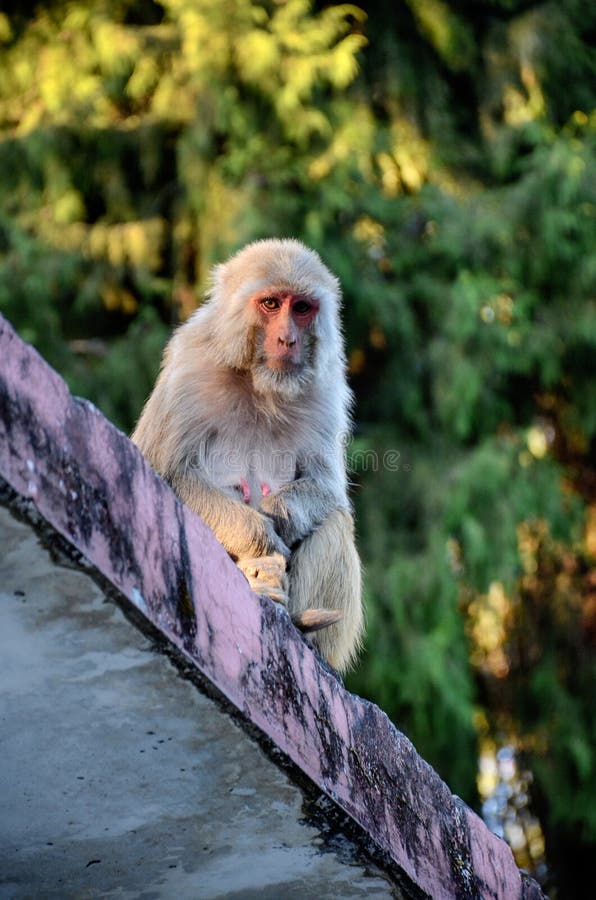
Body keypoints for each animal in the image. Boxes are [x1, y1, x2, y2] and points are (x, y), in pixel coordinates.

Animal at [132, 238, 363, 673]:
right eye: (271, 304)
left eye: (301, 308)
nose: (288, 339)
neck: (260, 385)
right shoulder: (189, 367)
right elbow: (164, 472)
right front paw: (259, 535)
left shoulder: (326, 390)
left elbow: (327, 490)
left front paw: (279, 515)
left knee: (334, 521)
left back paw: (304, 633)